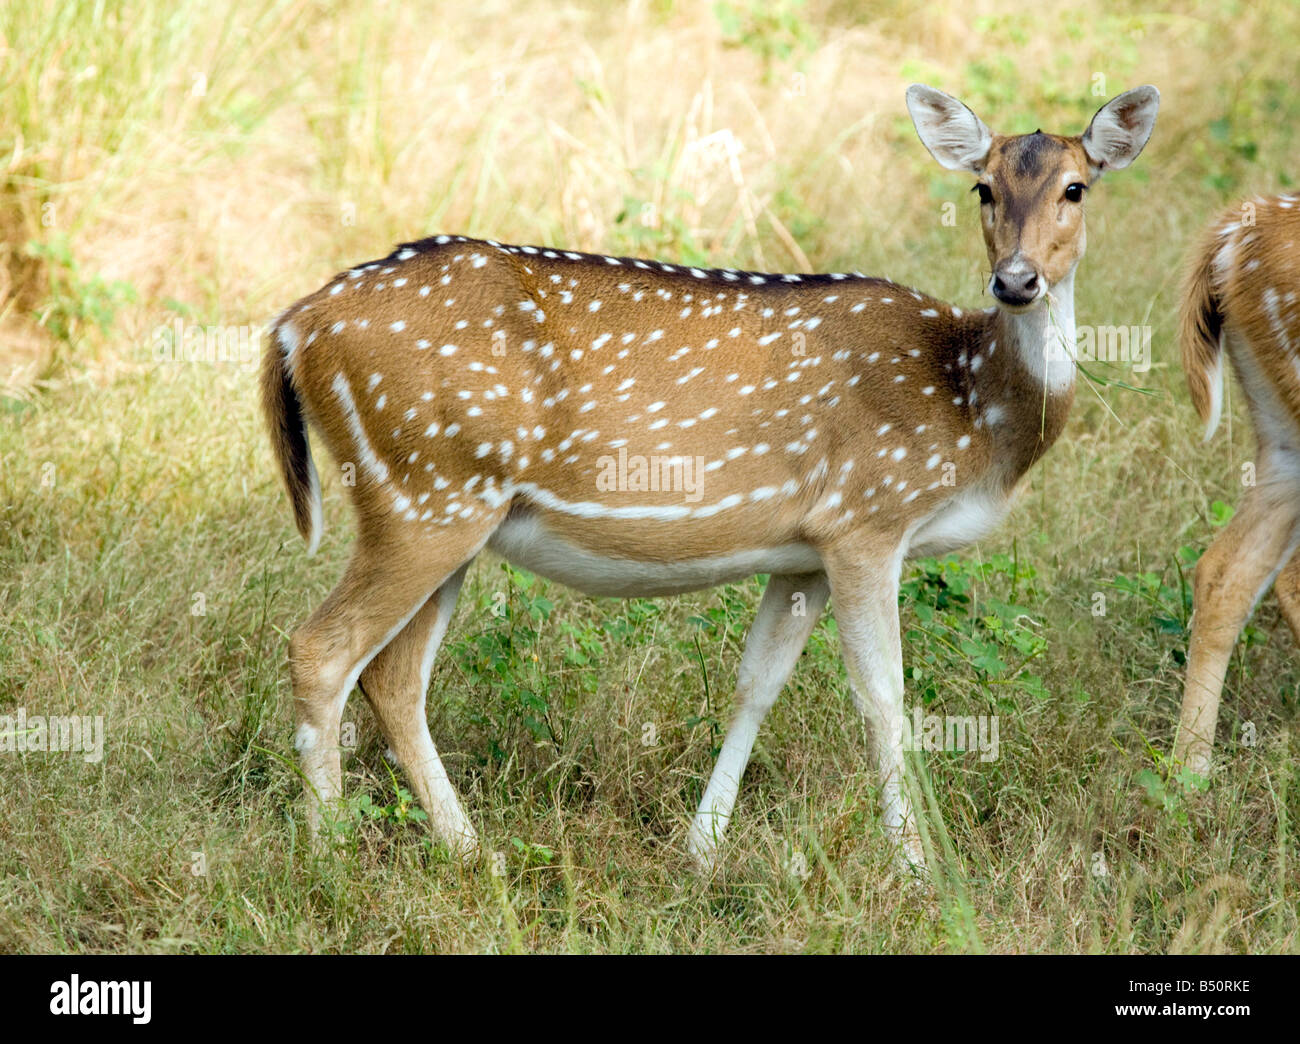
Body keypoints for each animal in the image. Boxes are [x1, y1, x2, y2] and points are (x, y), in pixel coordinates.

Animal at [261, 83, 1159, 873]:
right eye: (982, 187)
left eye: (1075, 187)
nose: (1017, 280)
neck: (969, 405)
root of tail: (294, 324)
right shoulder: (868, 518)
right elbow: (884, 697)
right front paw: (917, 868)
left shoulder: (802, 551)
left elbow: (757, 683)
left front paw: (701, 849)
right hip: (423, 493)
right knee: (321, 649)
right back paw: (330, 856)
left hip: (447, 508)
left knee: (393, 675)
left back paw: (471, 851)